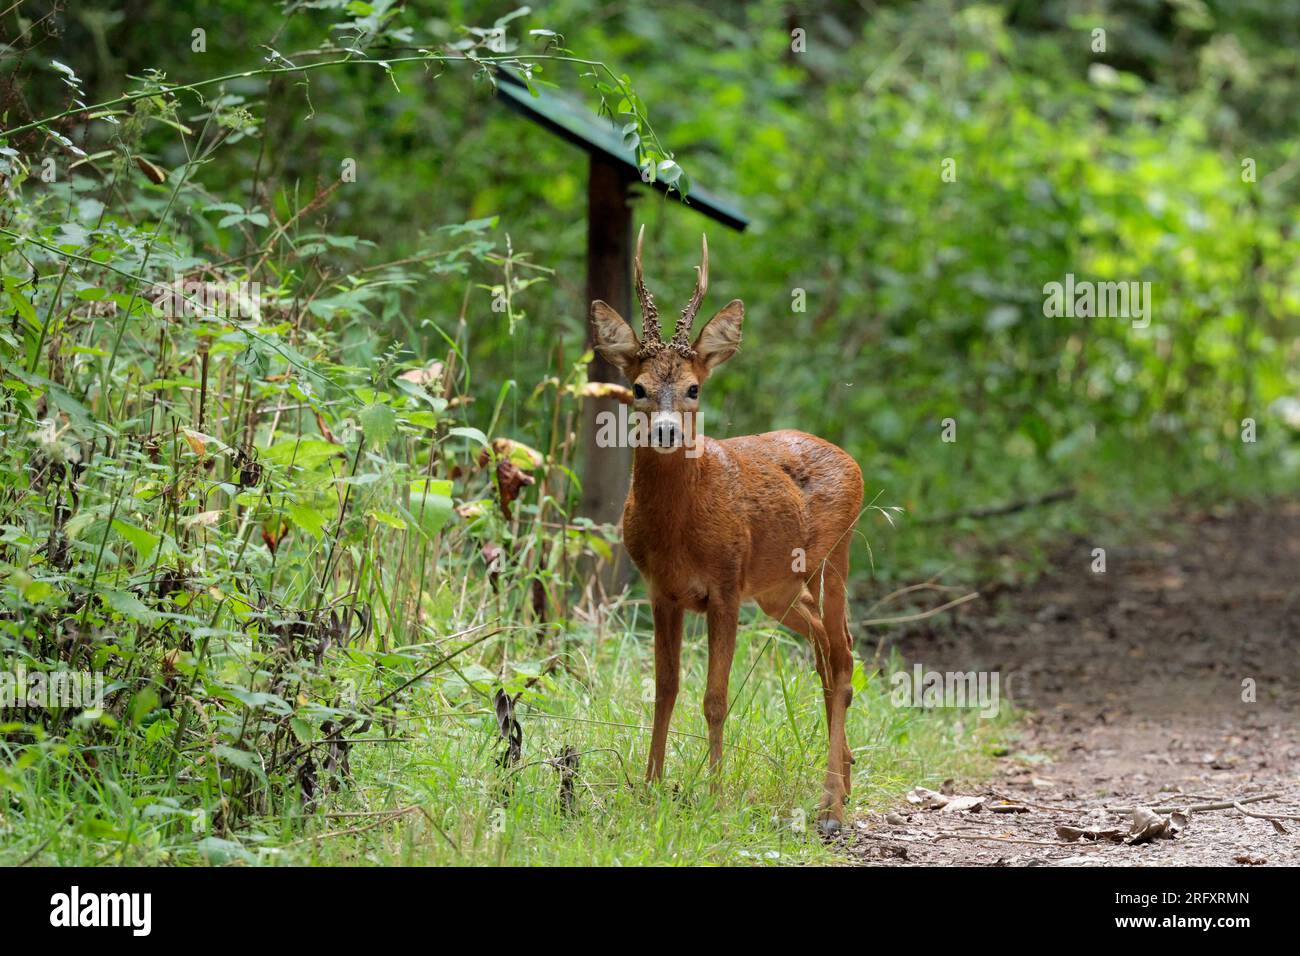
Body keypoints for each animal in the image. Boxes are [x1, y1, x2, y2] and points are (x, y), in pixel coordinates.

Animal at [590, 227, 865, 832]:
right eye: (638, 388)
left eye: (694, 388)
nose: (667, 431)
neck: (679, 529)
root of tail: (851, 458)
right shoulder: (661, 591)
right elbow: (664, 690)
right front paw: (650, 788)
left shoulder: (725, 585)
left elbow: (715, 698)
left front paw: (715, 797)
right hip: (779, 589)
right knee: (829, 653)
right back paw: (846, 781)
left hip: (835, 555)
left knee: (842, 658)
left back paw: (831, 805)